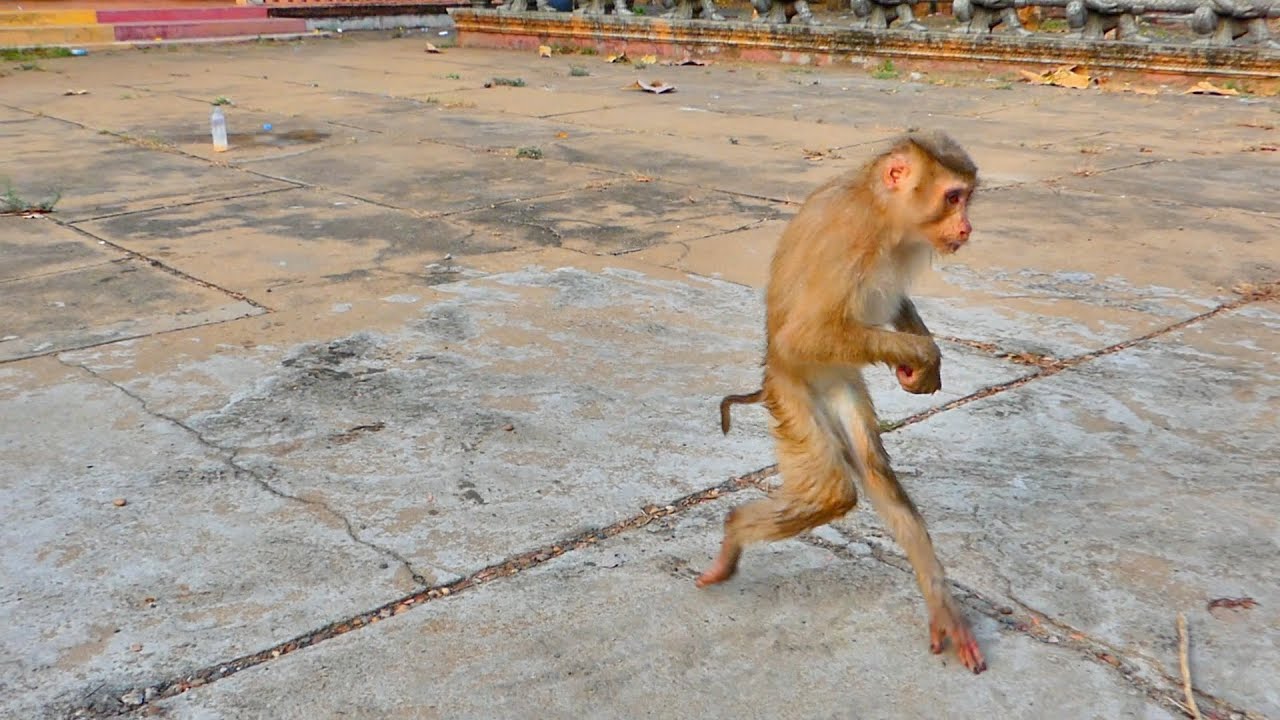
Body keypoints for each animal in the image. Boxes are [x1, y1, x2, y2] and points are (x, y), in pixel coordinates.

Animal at [696, 130, 987, 674]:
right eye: (953, 197)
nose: (967, 226)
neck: (884, 214)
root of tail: (770, 376)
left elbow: (892, 304)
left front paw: (923, 363)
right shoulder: (851, 240)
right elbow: (803, 335)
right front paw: (925, 354)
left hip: (840, 386)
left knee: (873, 469)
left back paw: (940, 605)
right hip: (791, 393)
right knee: (832, 490)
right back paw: (735, 530)